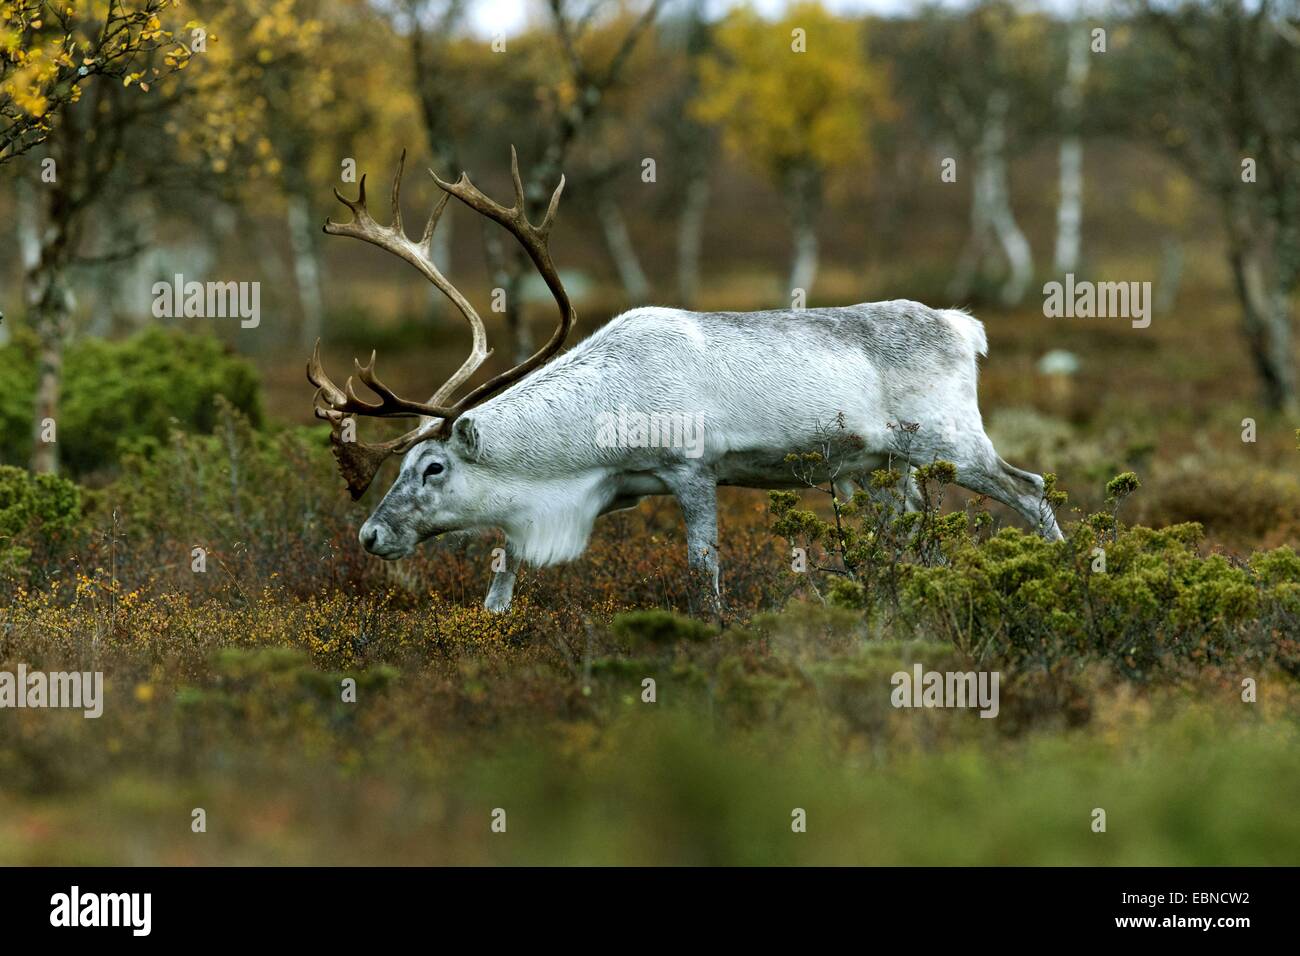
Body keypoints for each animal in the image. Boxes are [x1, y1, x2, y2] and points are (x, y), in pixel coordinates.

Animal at [307, 149, 1064, 613]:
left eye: (432, 467)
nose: (369, 535)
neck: (596, 428)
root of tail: (964, 328)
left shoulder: (693, 469)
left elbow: (706, 580)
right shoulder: (611, 489)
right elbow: (506, 566)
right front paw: (492, 623)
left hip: (950, 443)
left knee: (1031, 487)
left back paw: (1073, 576)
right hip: (888, 469)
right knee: (916, 535)